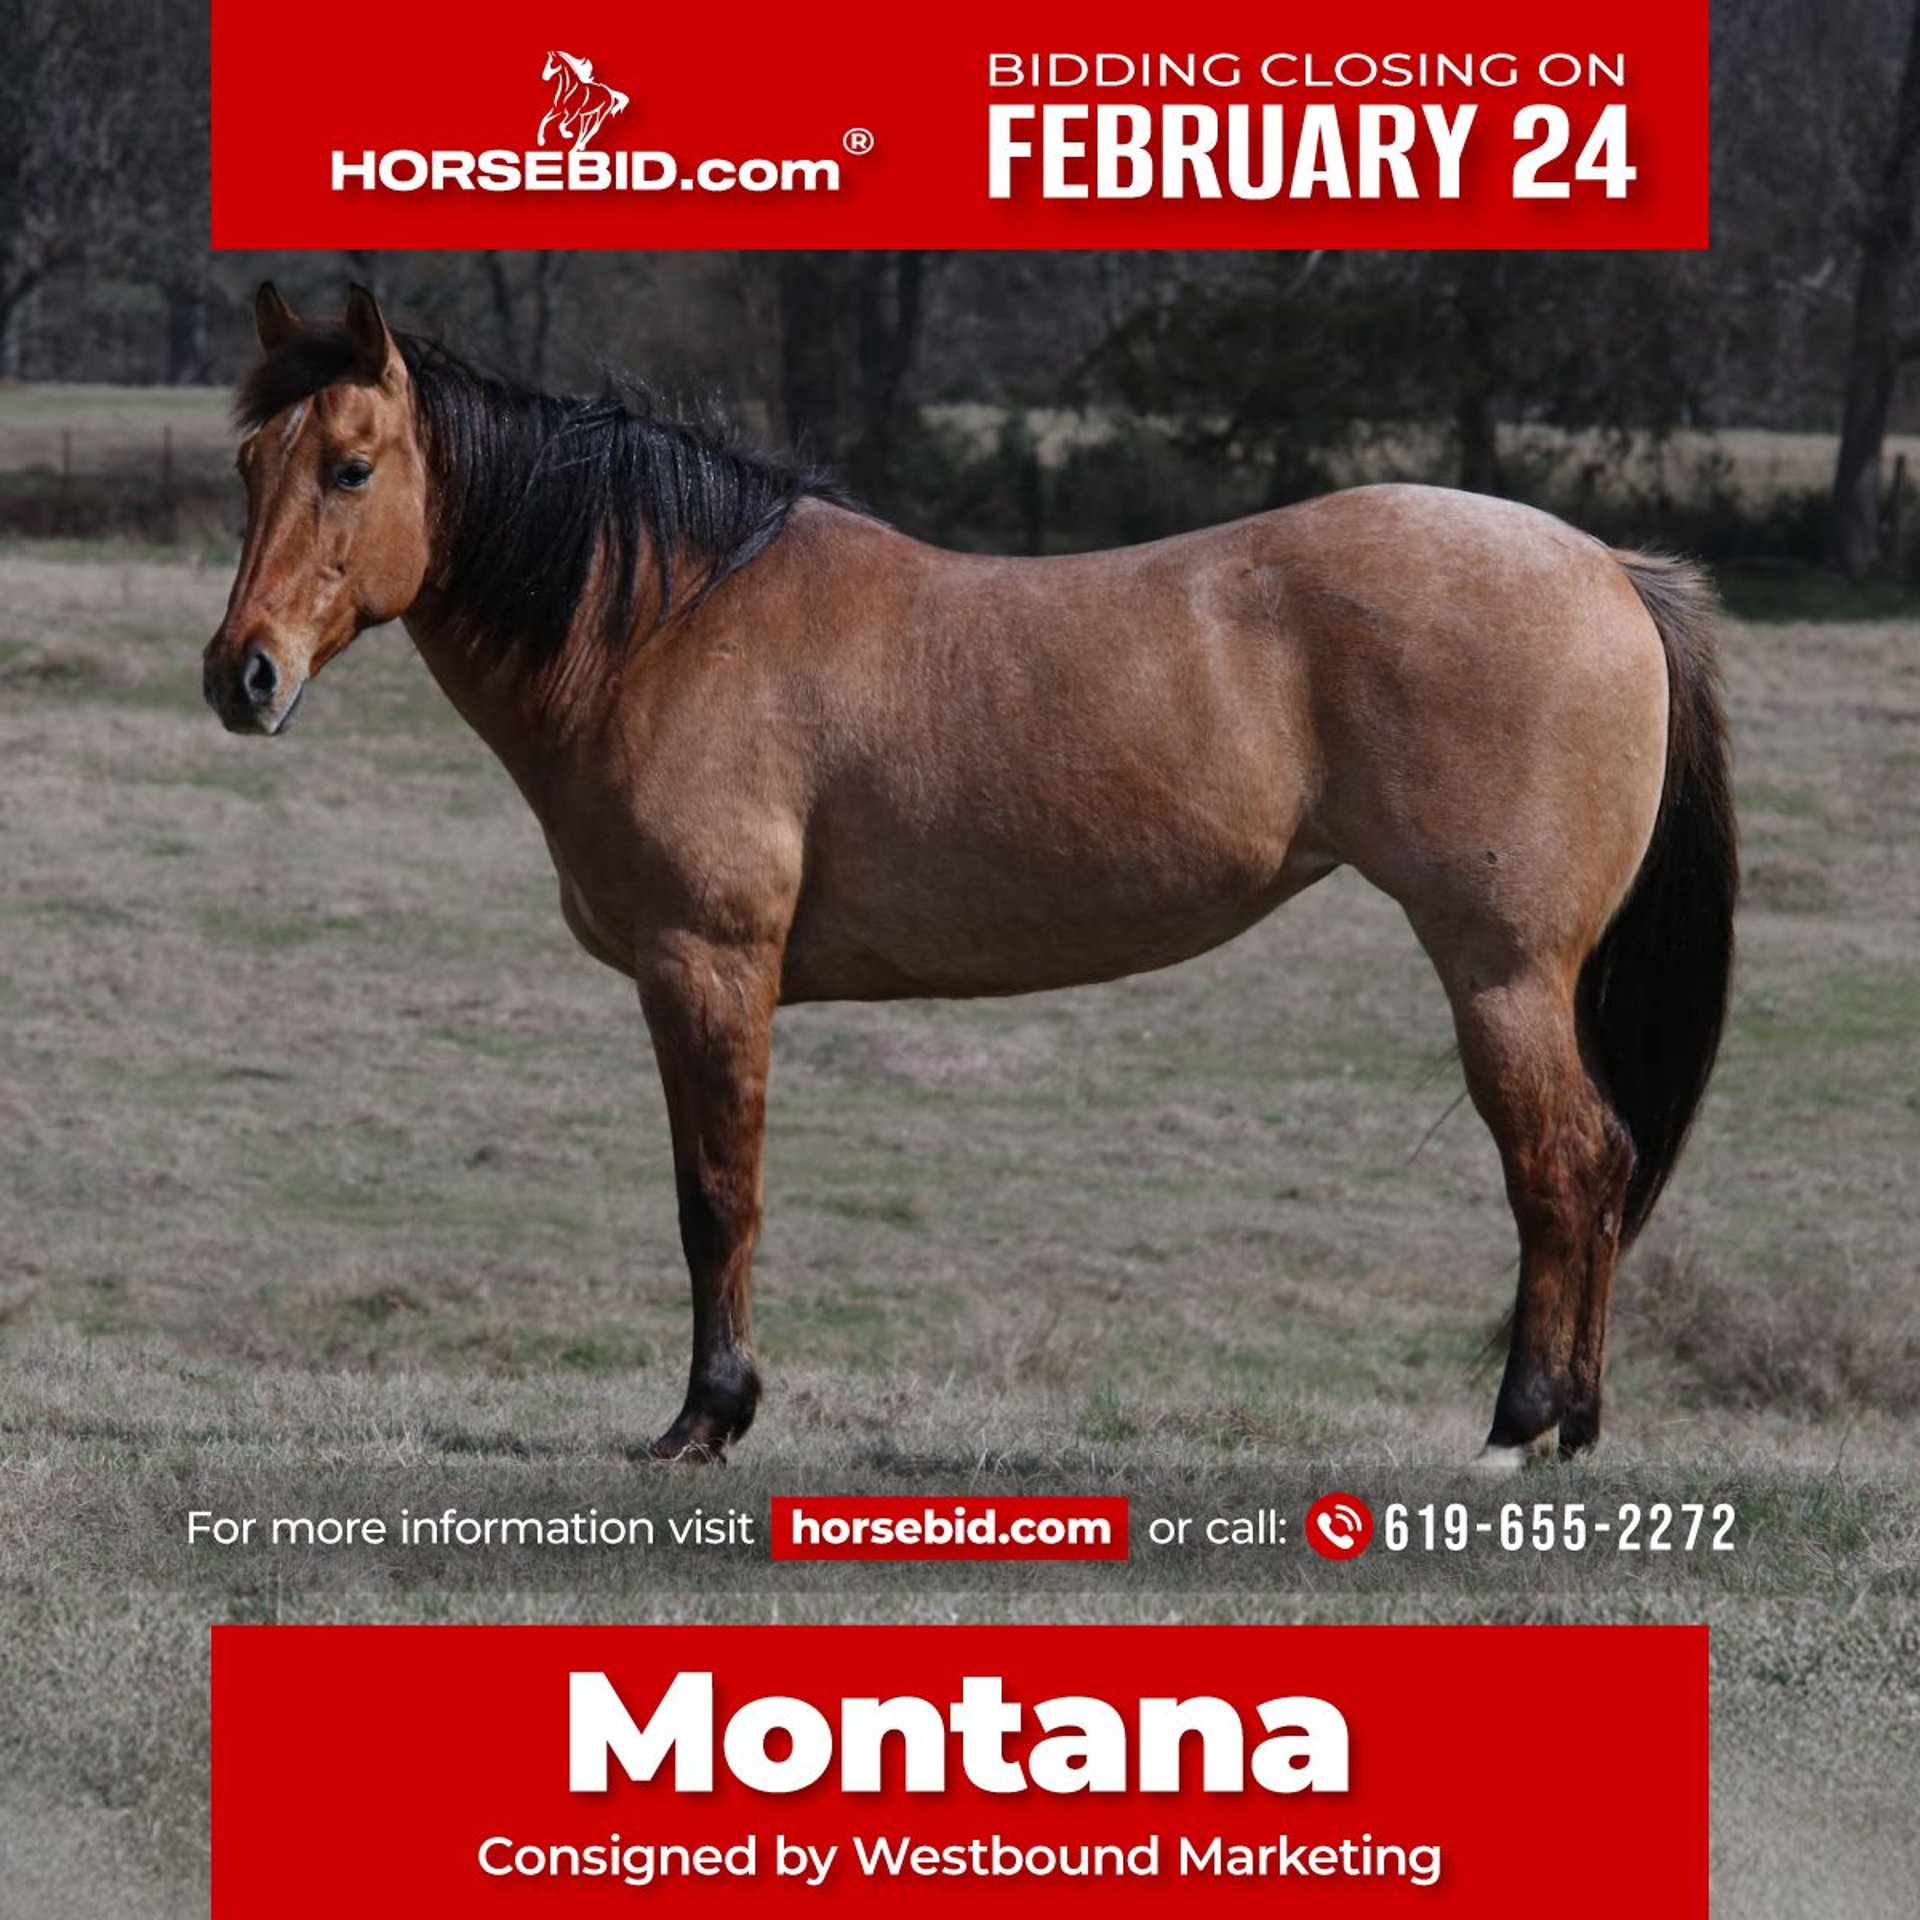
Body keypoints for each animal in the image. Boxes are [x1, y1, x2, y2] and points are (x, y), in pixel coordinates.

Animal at [203, 284, 1738, 1466]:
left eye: (351, 466)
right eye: (246, 467)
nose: (242, 676)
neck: (670, 620)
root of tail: (1606, 566)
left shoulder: (708, 965)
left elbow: (717, 1197)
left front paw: (707, 1421)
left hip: (1502, 968)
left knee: (1562, 1164)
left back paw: (1519, 1427)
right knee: (1598, 1166)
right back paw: (1574, 1430)